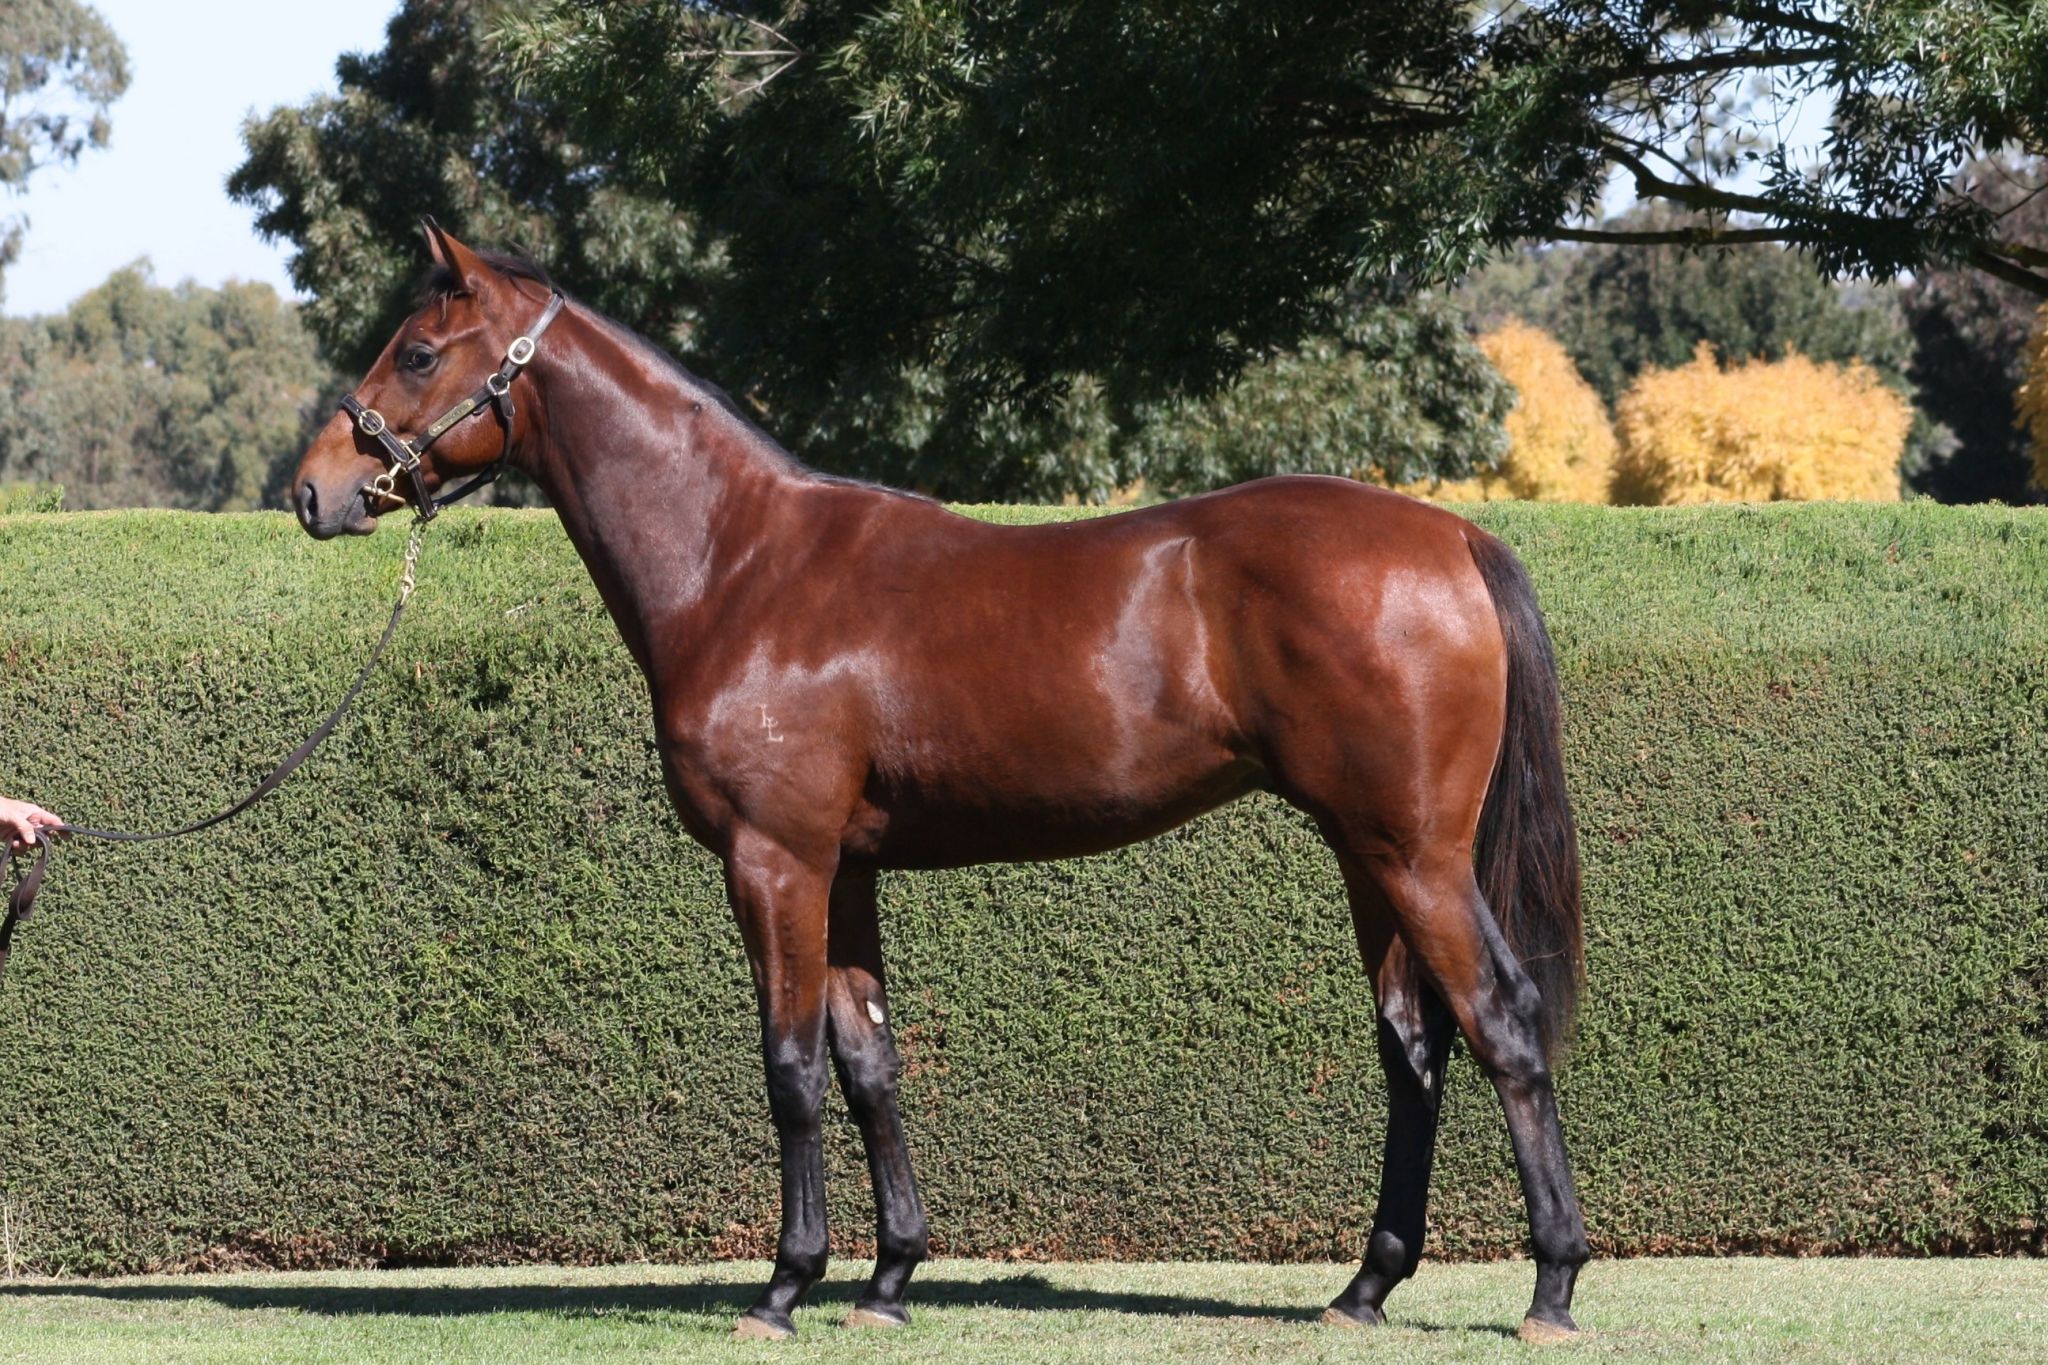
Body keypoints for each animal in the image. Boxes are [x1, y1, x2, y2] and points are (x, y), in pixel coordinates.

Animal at [290, 223, 1590, 1343]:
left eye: (417, 351)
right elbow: (868, 1064)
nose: (314, 490)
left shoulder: (774, 860)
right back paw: (1363, 1289)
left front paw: (783, 1288)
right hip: (1365, 854)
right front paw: (887, 1281)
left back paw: (1551, 1286)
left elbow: (790, 1068)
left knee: (1502, 1020)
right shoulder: (845, 868)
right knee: (1412, 1047)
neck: (741, 565)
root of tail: (1450, 537)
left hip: (1415, 855)